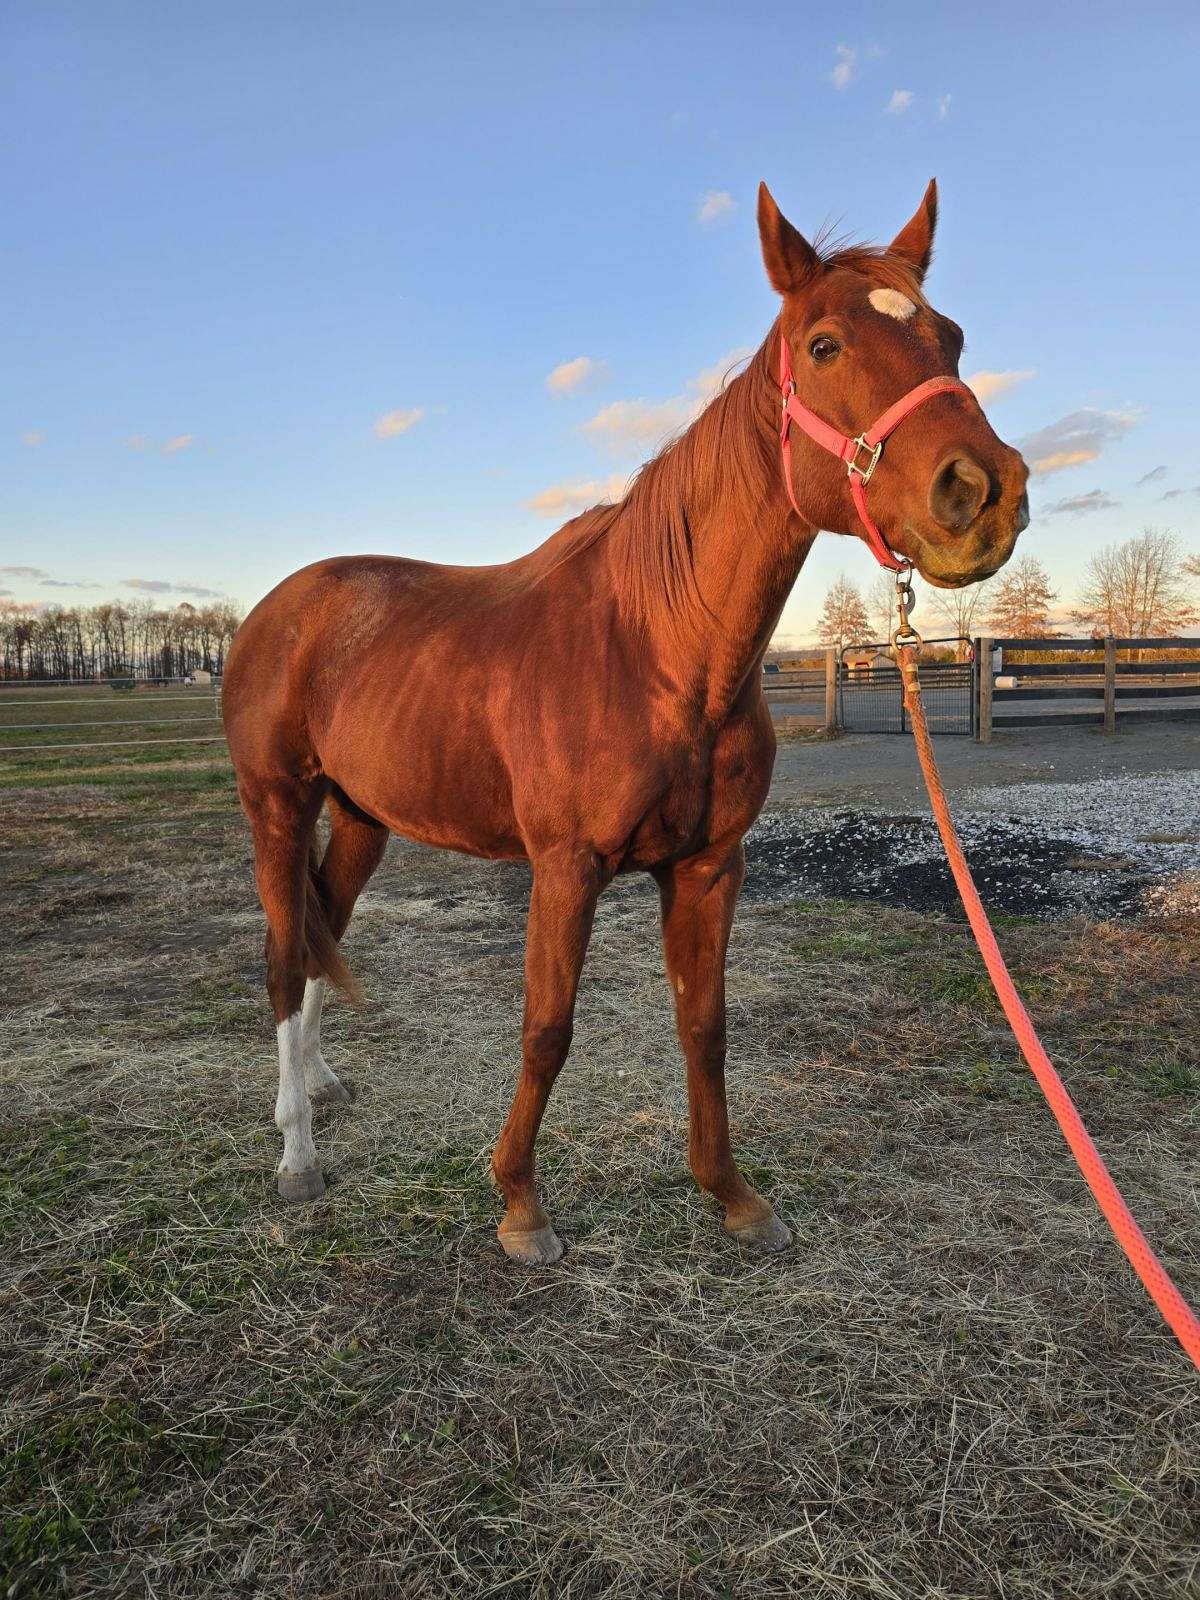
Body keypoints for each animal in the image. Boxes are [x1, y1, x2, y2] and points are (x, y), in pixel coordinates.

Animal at [222, 180, 1030, 1265]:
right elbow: (547, 1029)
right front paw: (521, 1204)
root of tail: (280, 608)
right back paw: (297, 1154)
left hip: (360, 817)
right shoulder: (567, 868)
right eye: (823, 345)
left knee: (318, 939)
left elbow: (705, 1027)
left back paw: (314, 1086)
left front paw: (733, 1196)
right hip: (277, 804)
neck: (656, 649)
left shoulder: (708, 867)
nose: (982, 492)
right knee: (280, 960)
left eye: (952, 335)